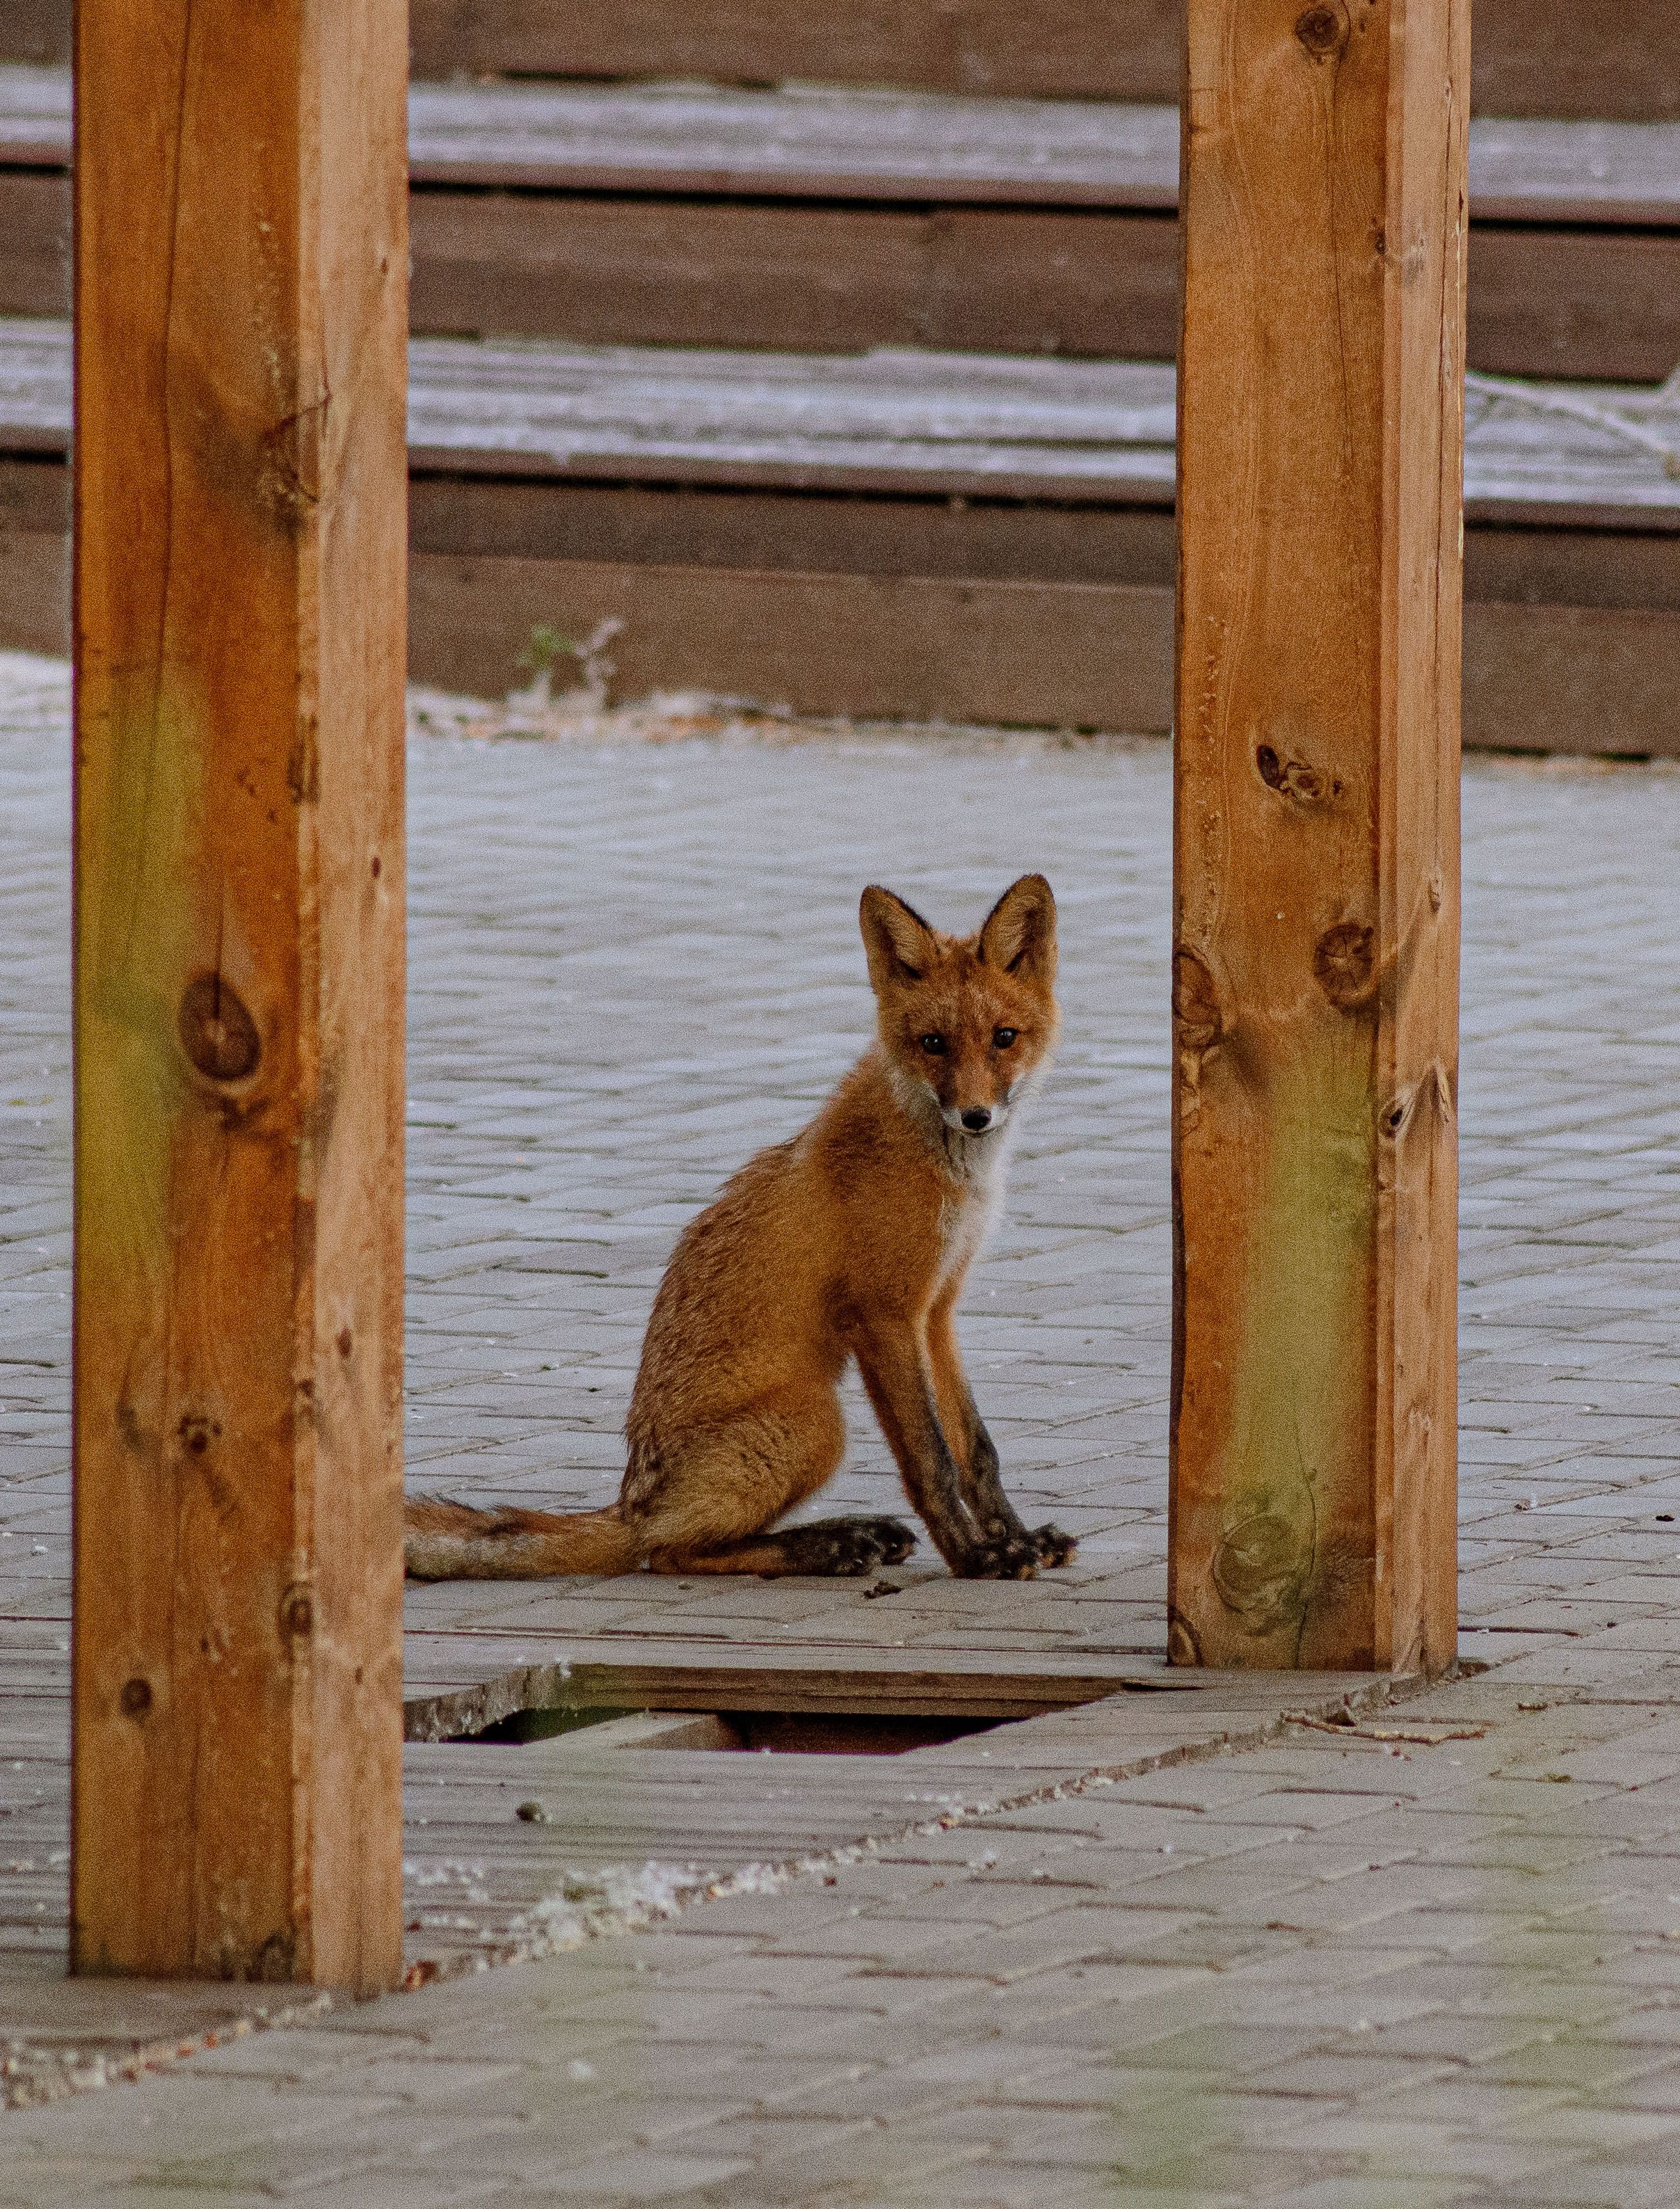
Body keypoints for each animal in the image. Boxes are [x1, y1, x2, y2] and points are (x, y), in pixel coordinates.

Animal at [404, 872, 1075, 1583]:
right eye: (933, 1044)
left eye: (1003, 1037)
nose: (975, 1116)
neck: (953, 1171)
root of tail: (630, 1500)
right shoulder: (885, 1315)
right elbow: (932, 1461)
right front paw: (975, 1556)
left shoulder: (937, 1310)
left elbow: (977, 1450)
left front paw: (1017, 1538)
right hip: (815, 1421)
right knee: (670, 1551)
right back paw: (825, 1546)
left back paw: (849, 1536)